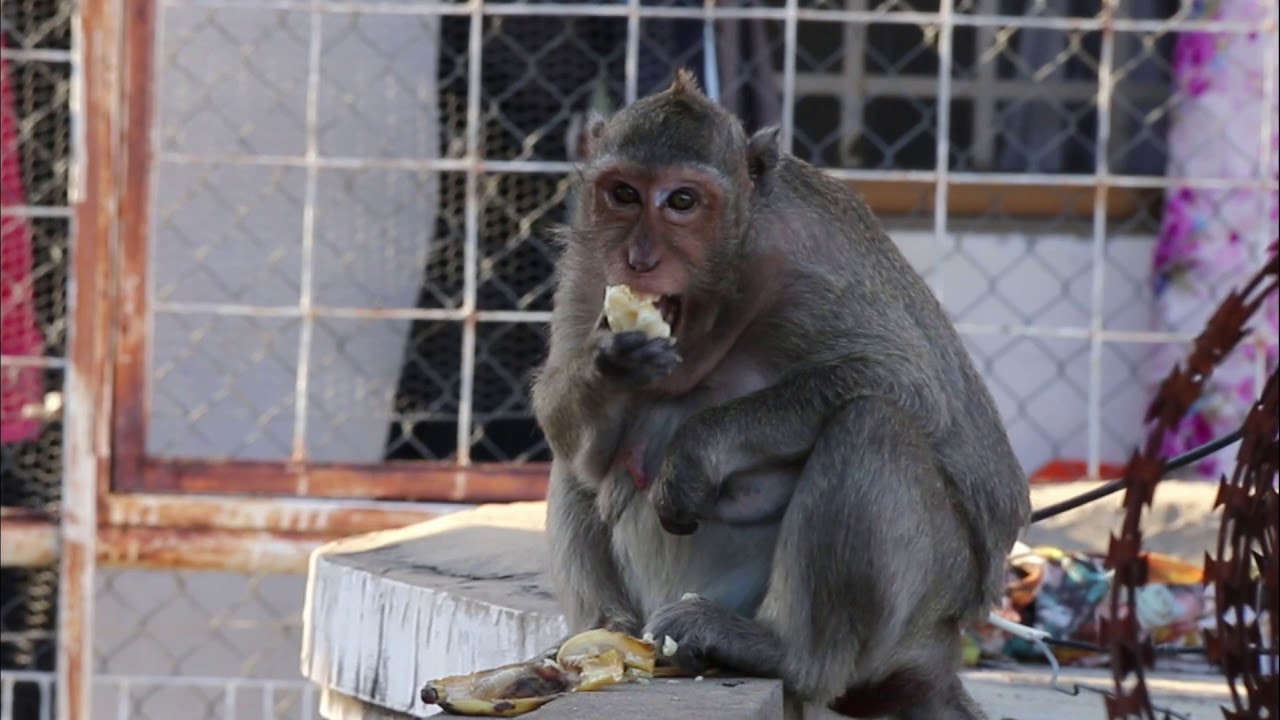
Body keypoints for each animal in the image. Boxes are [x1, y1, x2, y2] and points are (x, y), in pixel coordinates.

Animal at [528, 69, 1031, 719]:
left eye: (683, 202)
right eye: (624, 194)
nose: (639, 259)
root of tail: (944, 649)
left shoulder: (807, 260)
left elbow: (904, 381)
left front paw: (696, 450)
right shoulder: (588, 261)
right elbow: (571, 438)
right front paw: (609, 363)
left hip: (928, 600)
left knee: (873, 423)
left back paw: (785, 653)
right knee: (574, 468)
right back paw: (606, 631)